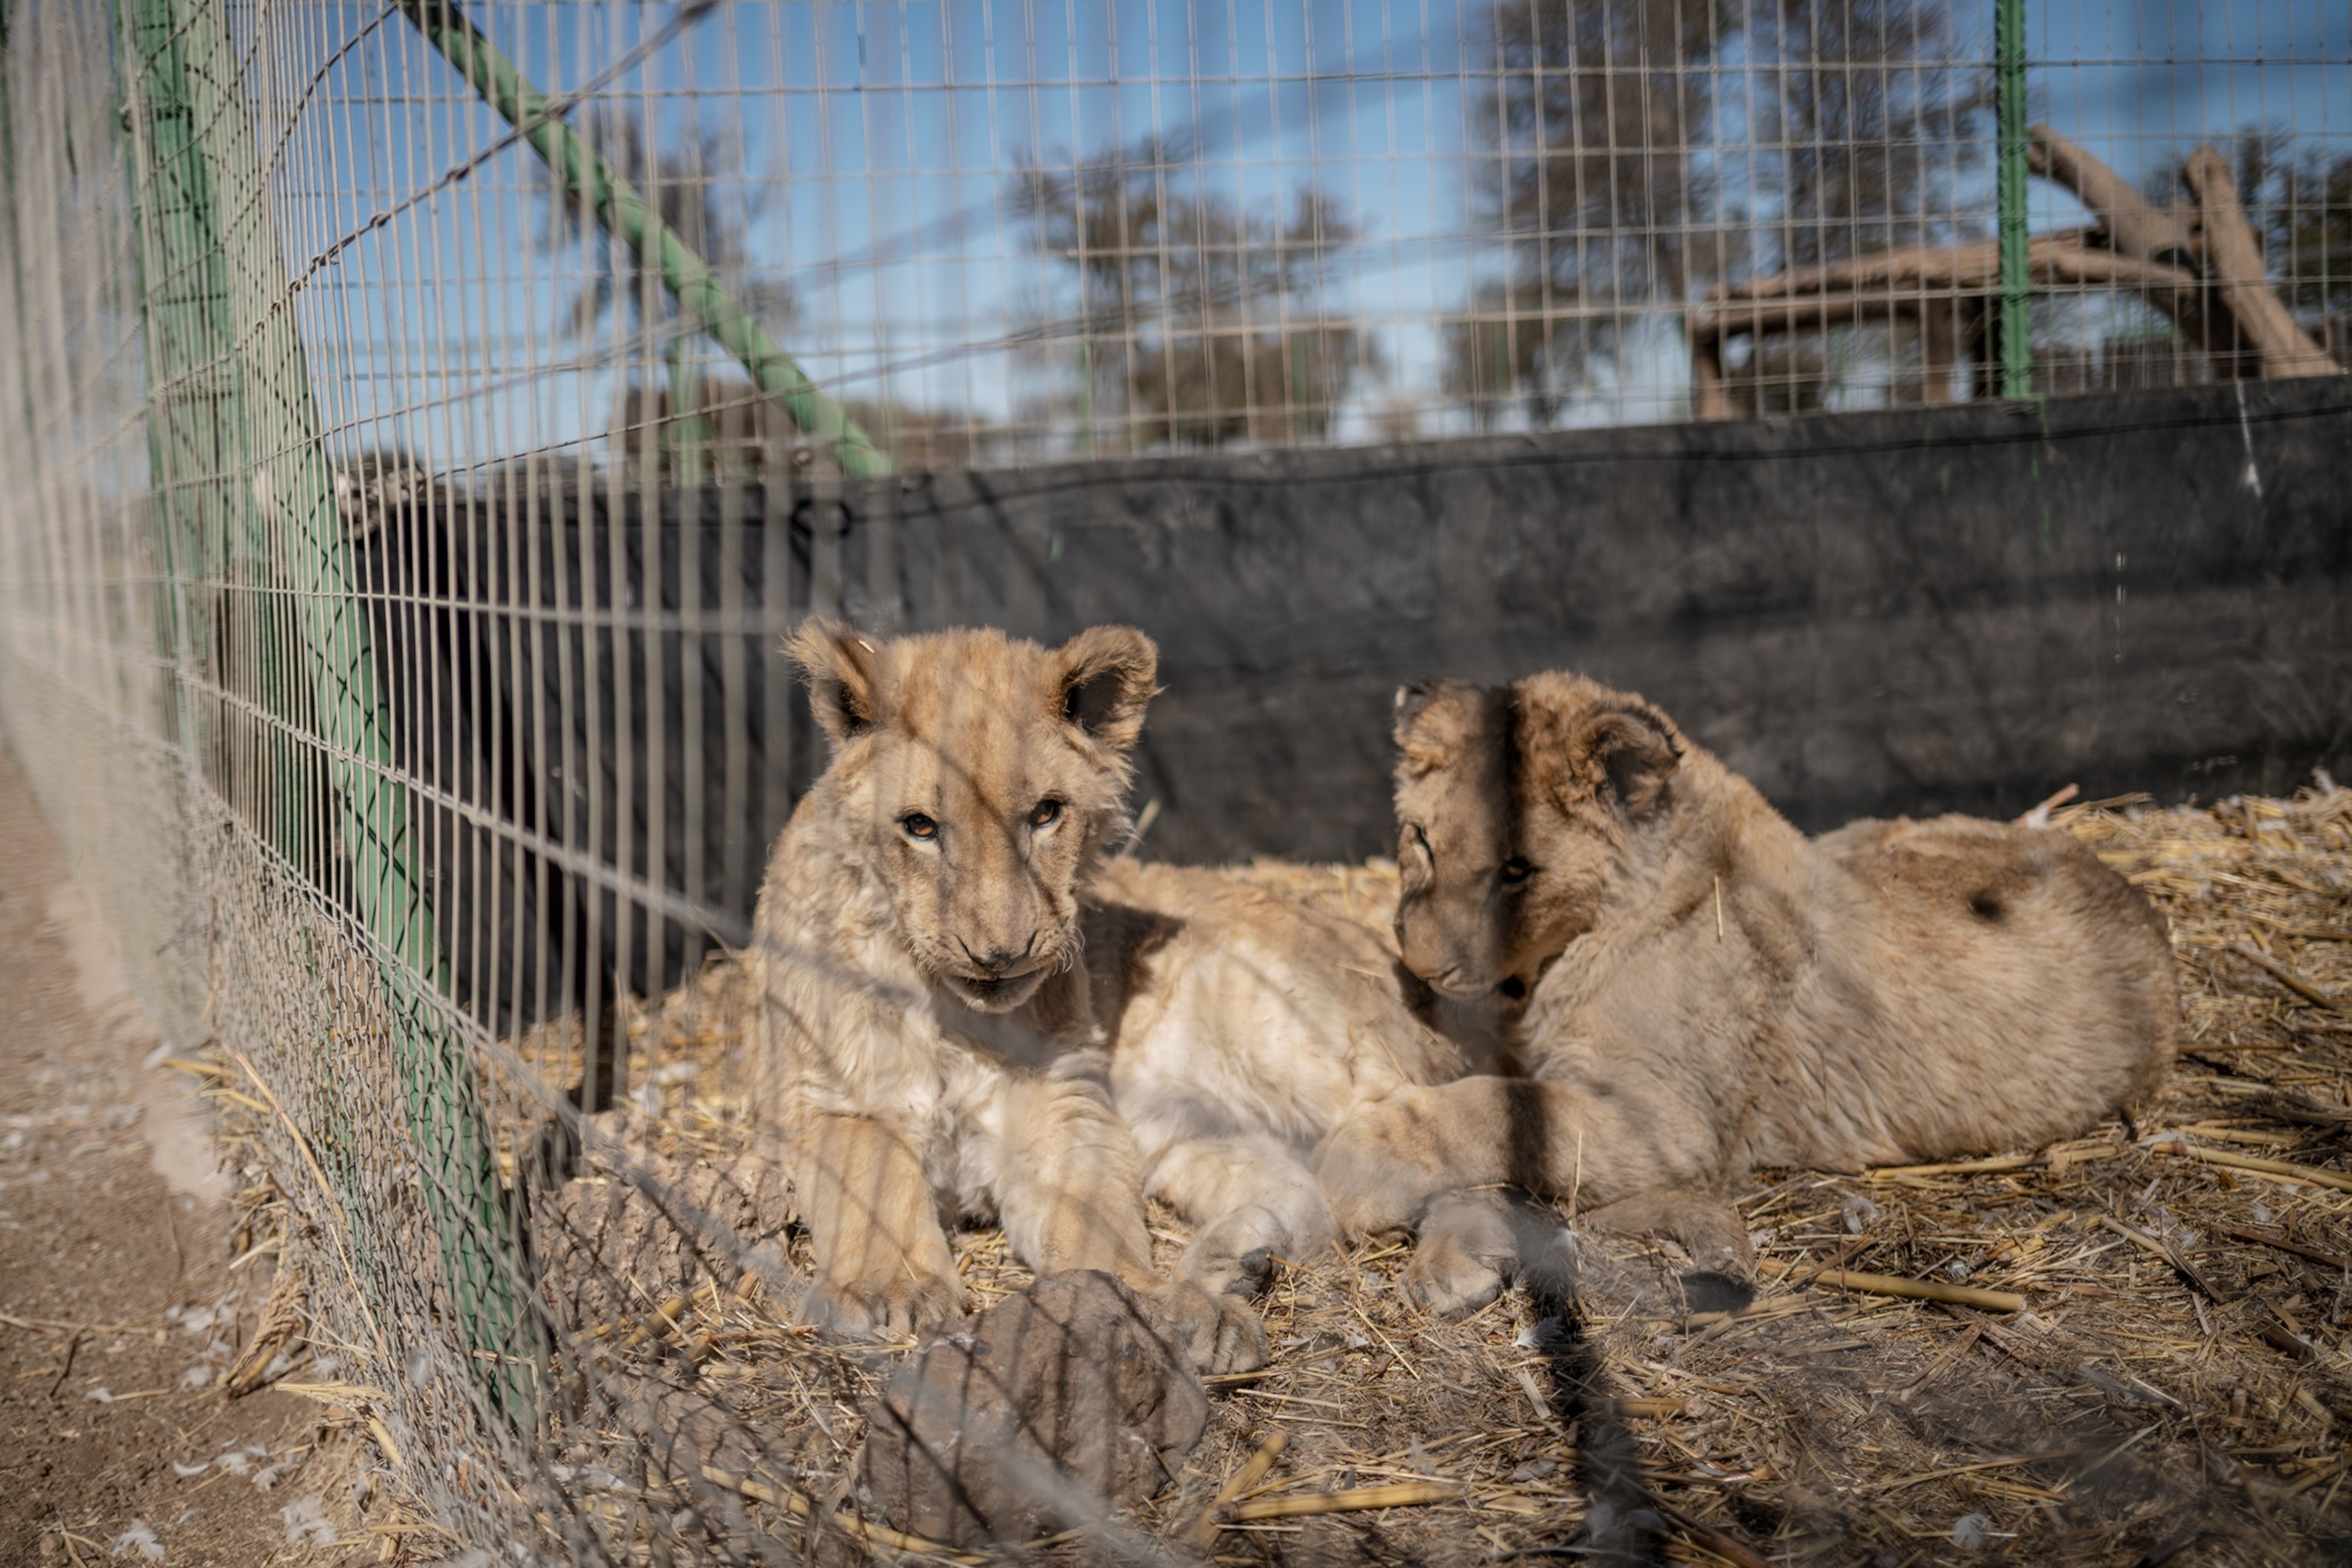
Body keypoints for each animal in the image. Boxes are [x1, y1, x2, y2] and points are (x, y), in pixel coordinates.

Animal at [1315, 673, 2178, 1315]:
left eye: (1518, 871)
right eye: (1421, 841)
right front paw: (1451, 1258)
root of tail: (2142, 900)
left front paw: (1351, 1167)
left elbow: (1484, 1109)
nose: (1420, 966)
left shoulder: (1669, 1122)